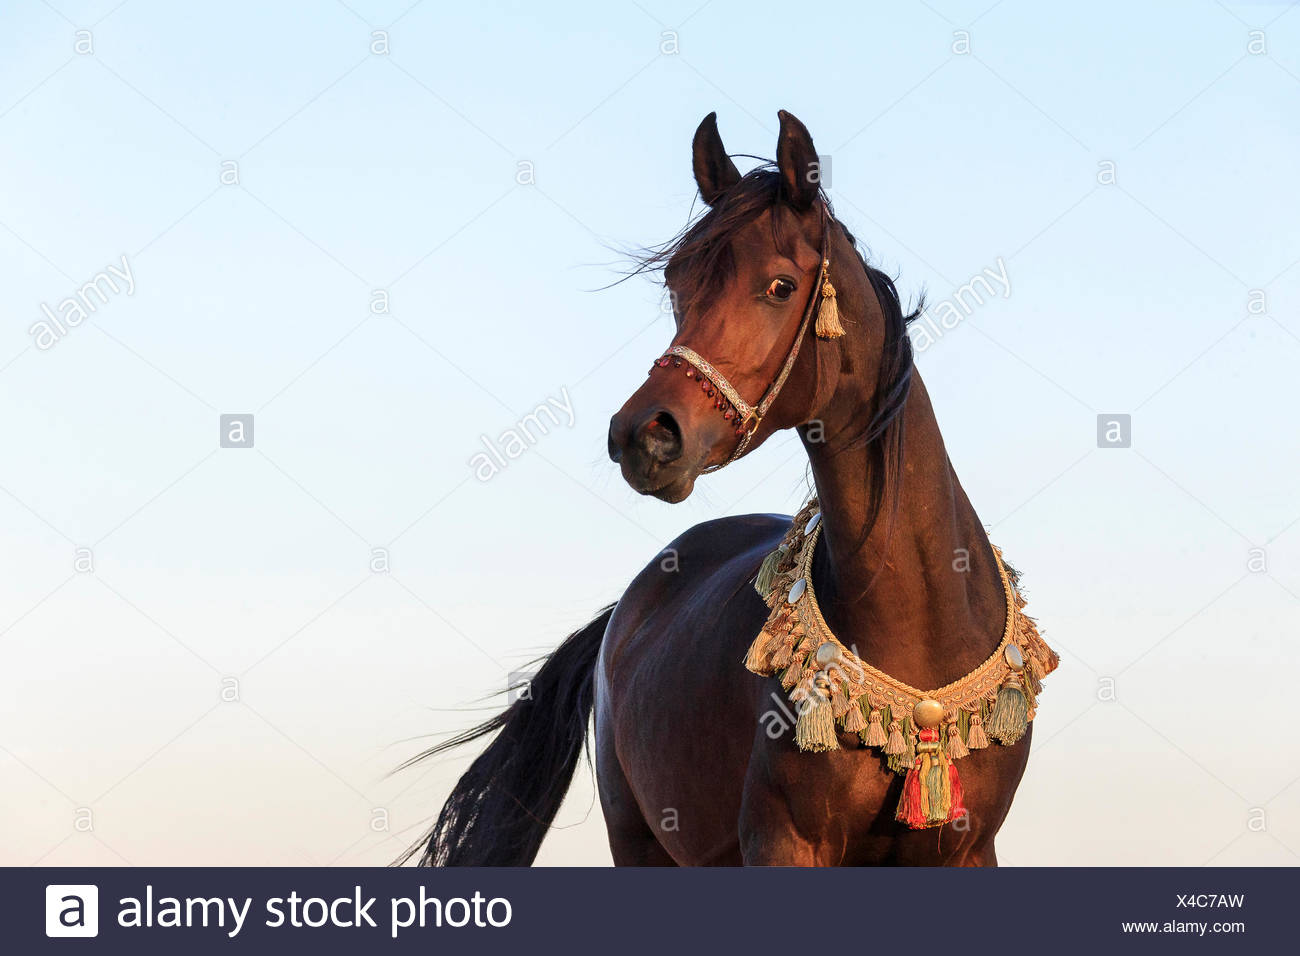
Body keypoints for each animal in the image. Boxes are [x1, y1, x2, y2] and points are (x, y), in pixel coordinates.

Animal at [408, 110, 1038, 866]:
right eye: (676, 283)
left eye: (780, 286)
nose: (644, 436)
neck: (917, 625)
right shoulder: (782, 840)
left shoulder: (969, 849)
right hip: (638, 839)